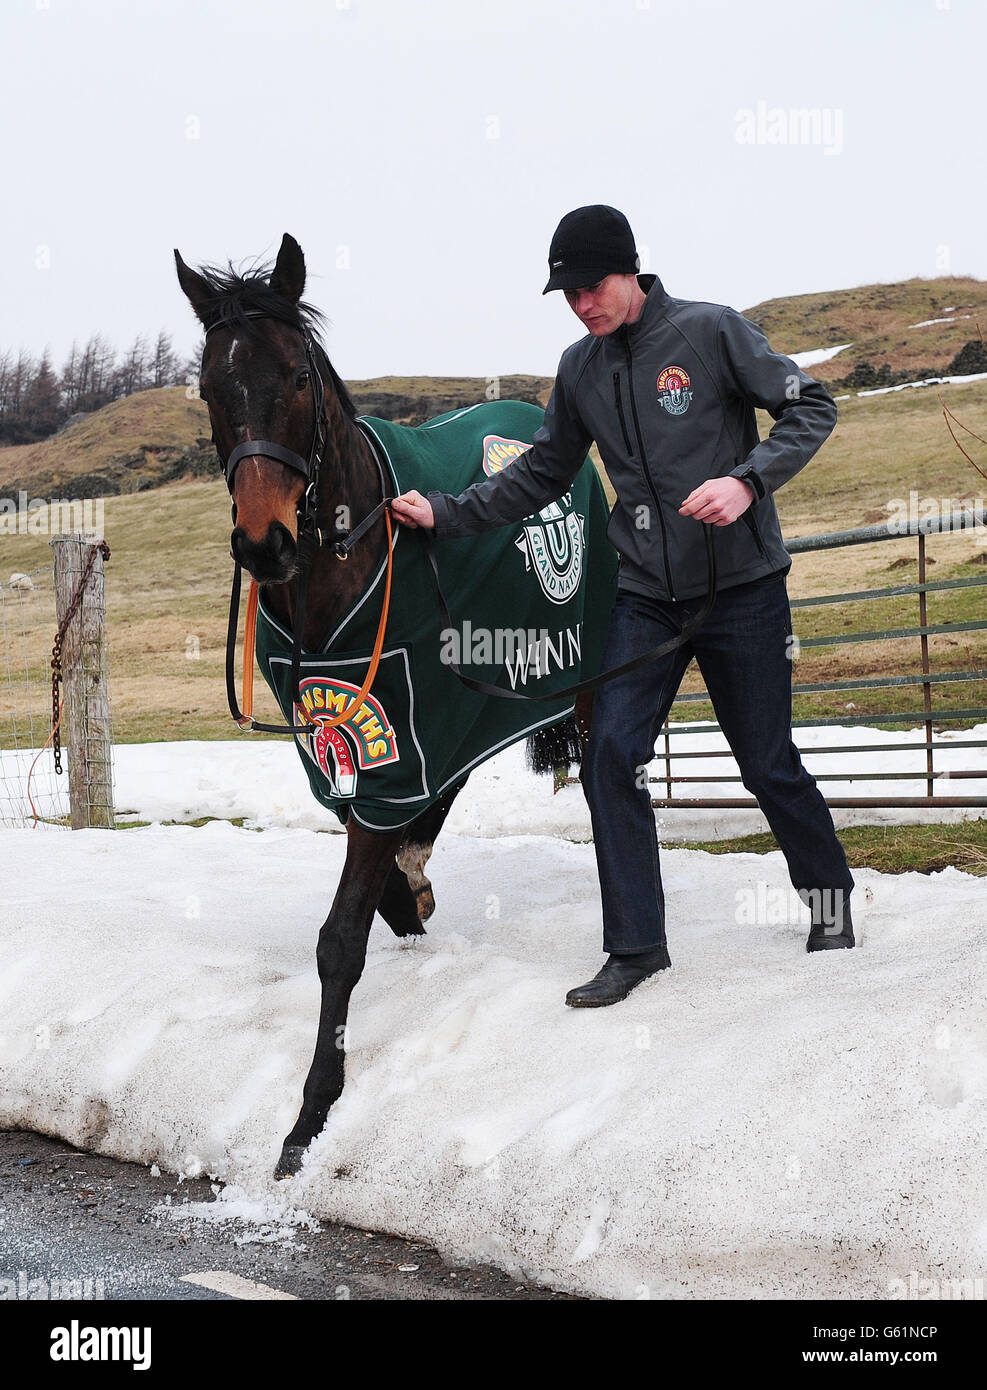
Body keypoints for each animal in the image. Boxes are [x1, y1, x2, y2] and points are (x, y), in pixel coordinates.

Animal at [175, 233, 611, 1179]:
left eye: (297, 374)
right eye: (210, 385)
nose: (263, 542)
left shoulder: (386, 747)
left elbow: (340, 939)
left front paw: (309, 1116)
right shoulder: (354, 754)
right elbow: (379, 877)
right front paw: (410, 895)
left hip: (587, 679)